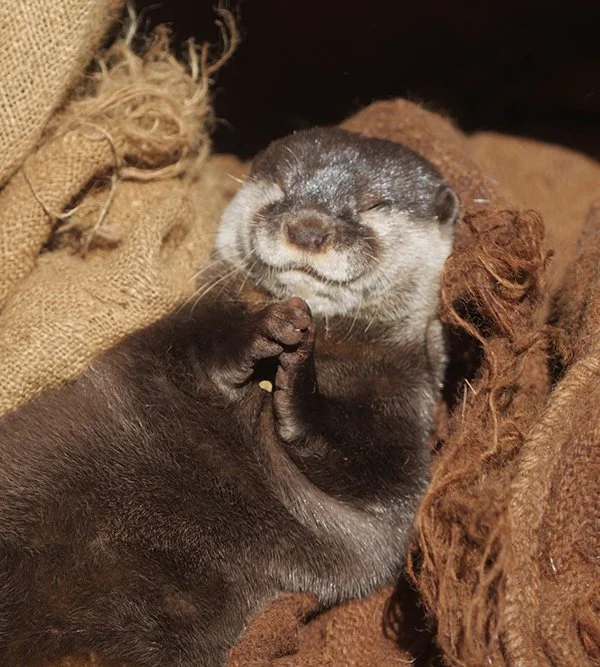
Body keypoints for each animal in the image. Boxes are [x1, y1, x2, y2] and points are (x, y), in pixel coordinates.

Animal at [0, 128, 459, 666]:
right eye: (282, 186)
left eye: (373, 203)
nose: (308, 228)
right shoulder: (185, 322)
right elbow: (187, 350)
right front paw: (265, 331)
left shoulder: (405, 412)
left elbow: (379, 476)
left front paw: (298, 383)